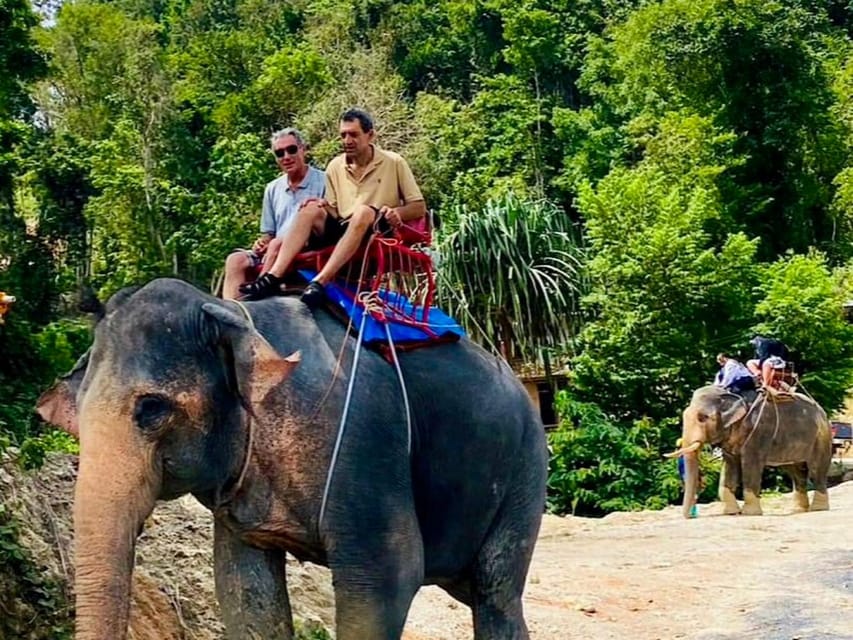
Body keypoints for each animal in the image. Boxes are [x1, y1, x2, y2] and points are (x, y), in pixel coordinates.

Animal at [36, 278, 548, 640]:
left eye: (152, 409)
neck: (232, 314)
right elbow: (243, 588)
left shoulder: (362, 444)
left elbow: (389, 576)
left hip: (526, 467)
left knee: (494, 591)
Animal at [668, 385, 832, 518]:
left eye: (702, 418)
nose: (690, 516)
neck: (730, 394)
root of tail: (822, 411)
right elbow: (730, 466)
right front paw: (731, 513)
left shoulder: (758, 430)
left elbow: (751, 464)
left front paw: (750, 513)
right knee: (796, 472)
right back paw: (798, 510)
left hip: (821, 437)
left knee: (816, 470)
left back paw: (818, 509)